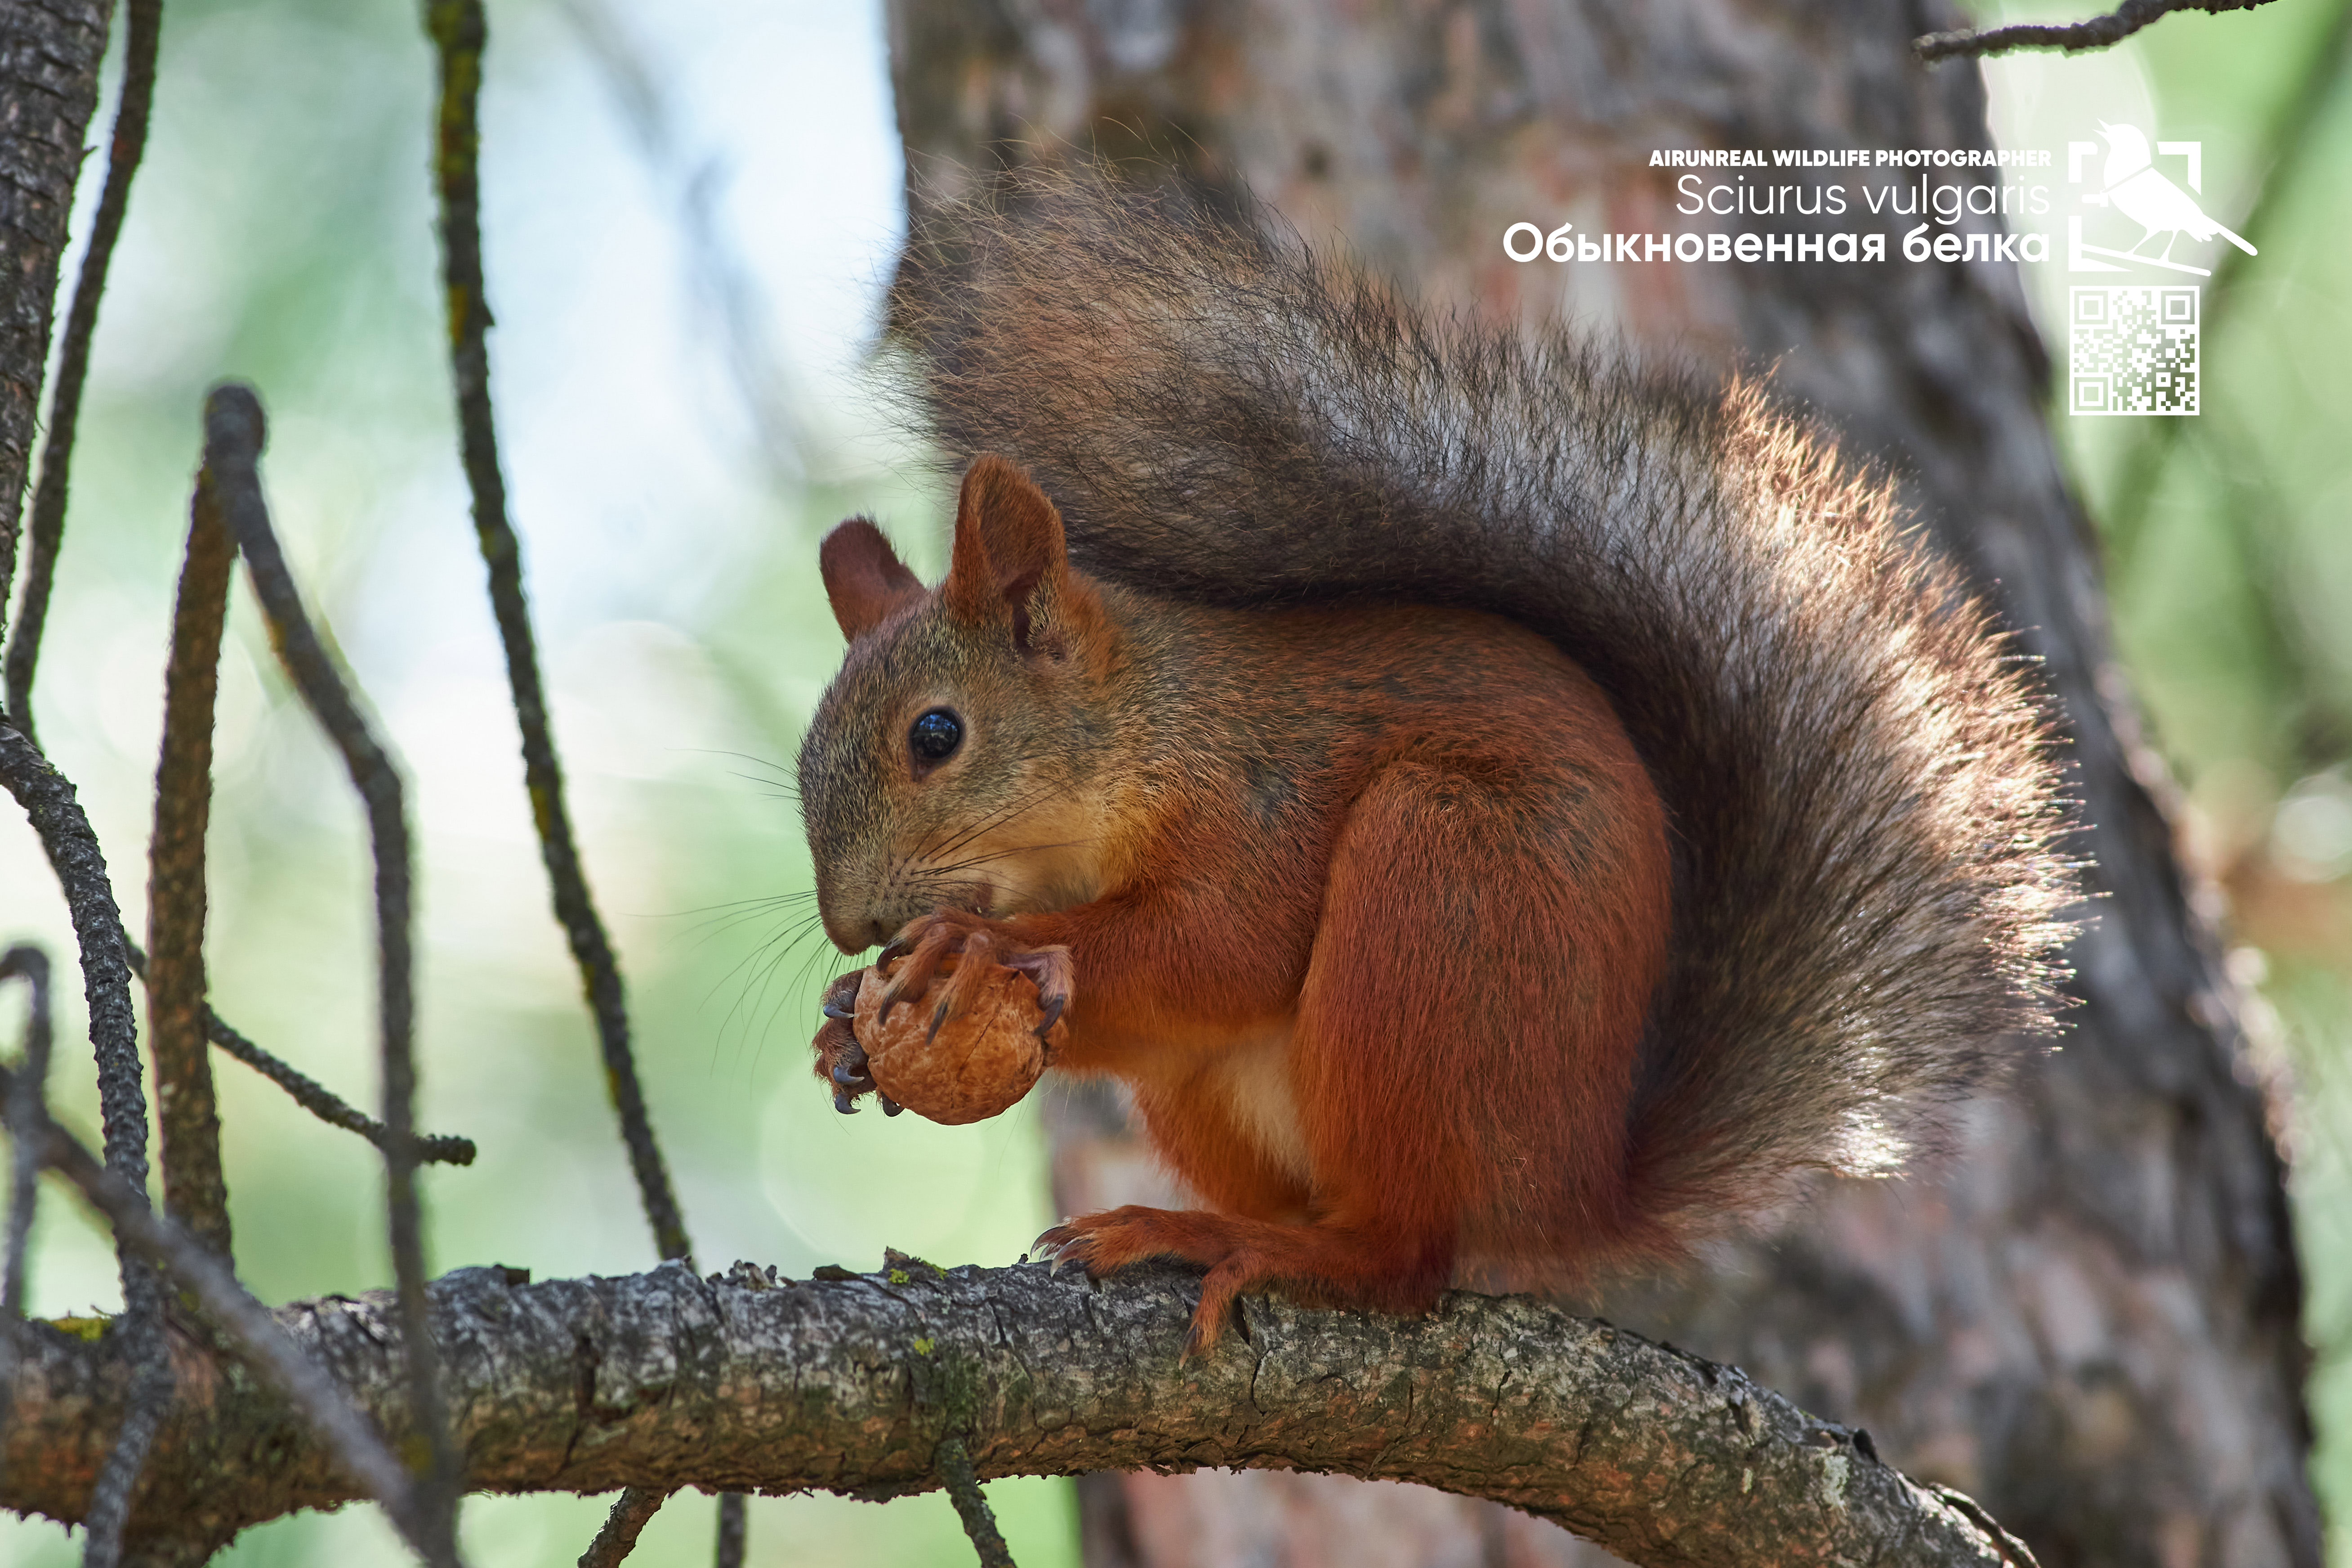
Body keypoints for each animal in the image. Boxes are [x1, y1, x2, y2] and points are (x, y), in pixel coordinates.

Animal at [799, 169, 2070, 1354]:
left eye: (935, 736)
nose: (853, 927)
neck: (1140, 735)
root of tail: (1568, 1193)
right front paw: (843, 1030)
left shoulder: (1260, 794)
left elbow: (1226, 946)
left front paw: (993, 948)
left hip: (1439, 884)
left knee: (1400, 1254)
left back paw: (1239, 1244)